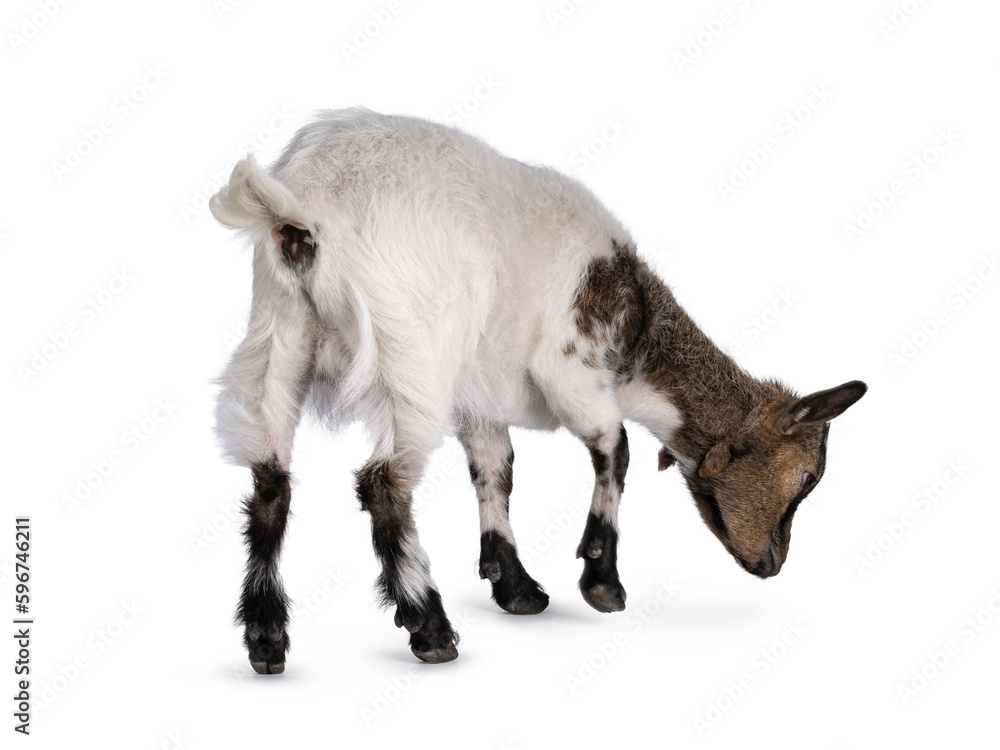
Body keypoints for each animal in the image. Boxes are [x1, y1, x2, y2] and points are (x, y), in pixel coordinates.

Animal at [210, 107, 866, 673]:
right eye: (808, 476)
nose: (772, 564)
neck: (640, 332)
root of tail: (307, 211)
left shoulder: (478, 399)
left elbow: (495, 470)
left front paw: (515, 584)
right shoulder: (570, 368)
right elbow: (615, 448)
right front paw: (601, 582)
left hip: (280, 334)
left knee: (270, 480)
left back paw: (266, 635)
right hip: (410, 355)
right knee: (383, 484)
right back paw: (429, 626)